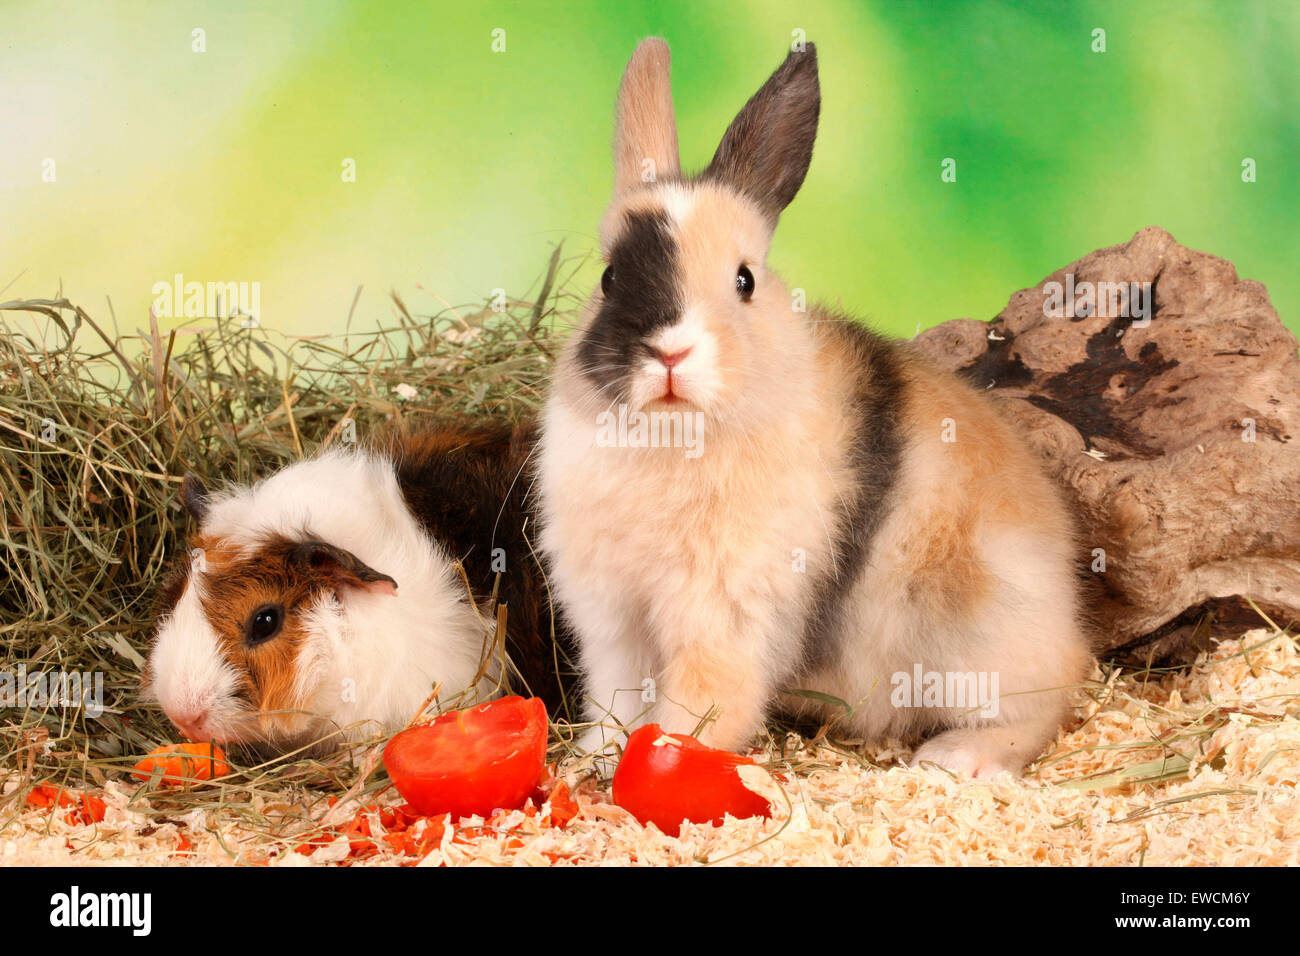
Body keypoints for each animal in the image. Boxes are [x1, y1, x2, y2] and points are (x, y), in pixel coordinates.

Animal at [536, 38, 1091, 778]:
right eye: (609, 276)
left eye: (744, 279)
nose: (670, 352)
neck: (672, 438)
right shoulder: (614, 622)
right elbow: (615, 701)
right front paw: (591, 762)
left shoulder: (722, 617)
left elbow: (700, 708)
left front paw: (658, 769)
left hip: (983, 642)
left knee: (1040, 702)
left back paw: (958, 759)